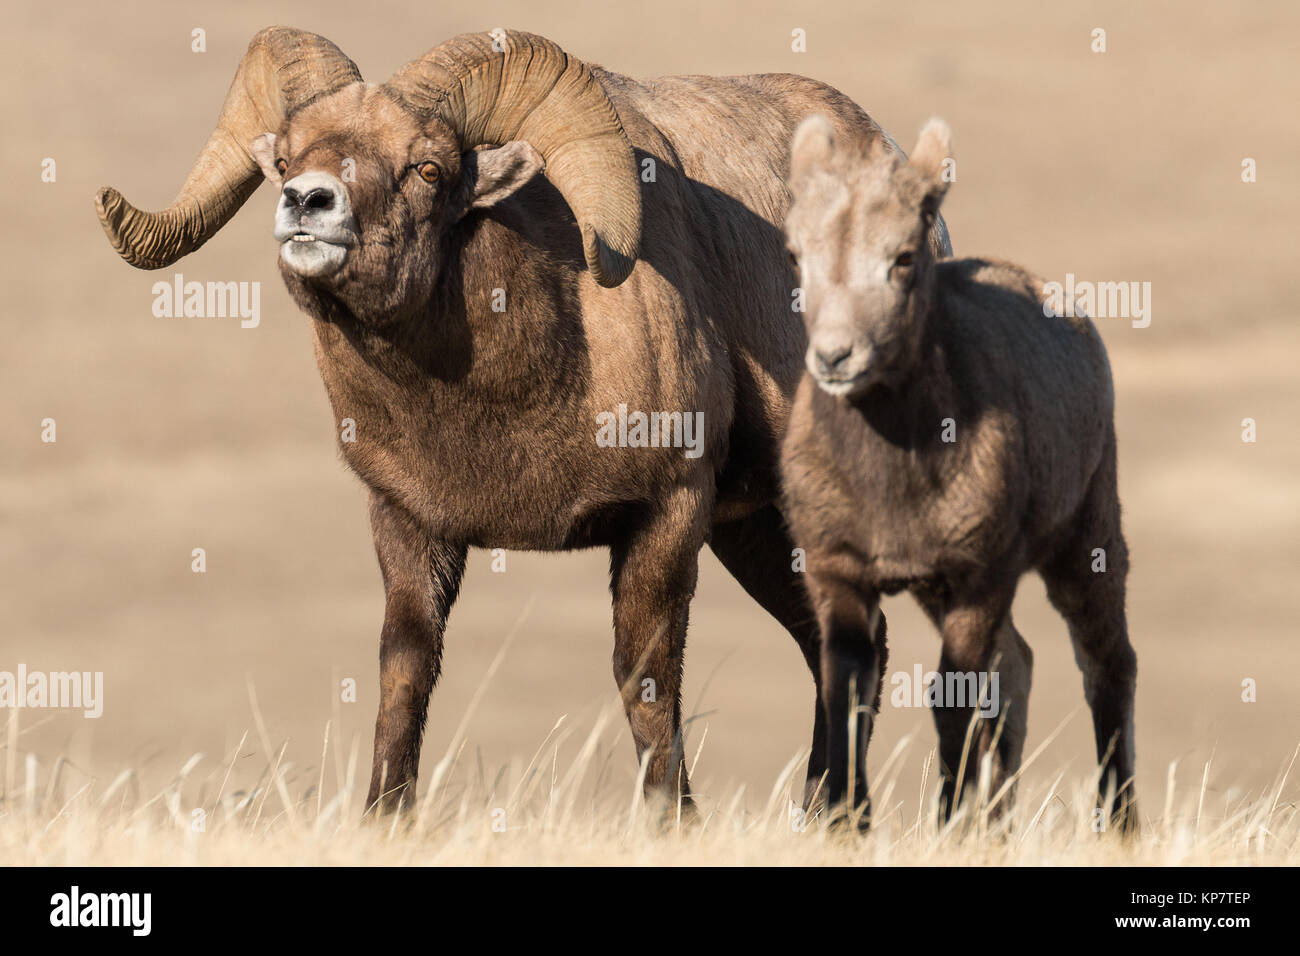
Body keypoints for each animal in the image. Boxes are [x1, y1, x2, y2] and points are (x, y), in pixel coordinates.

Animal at [94, 27, 952, 815]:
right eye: (284, 157)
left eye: (428, 167)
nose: (308, 202)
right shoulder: (408, 522)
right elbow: (405, 672)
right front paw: (385, 816)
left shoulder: (667, 513)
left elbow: (644, 679)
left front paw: (673, 819)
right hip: (757, 534)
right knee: (836, 646)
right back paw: (832, 816)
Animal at [780, 115, 1137, 831]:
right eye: (796, 255)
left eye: (903, 257)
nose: (836, 357)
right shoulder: (841, 576)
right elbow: (847, 695)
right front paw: (849, 825)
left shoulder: (978, 576)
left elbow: (954, 700)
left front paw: (948, 826)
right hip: (941, 590)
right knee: (1019, 666)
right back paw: (997, 829)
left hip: (1085, 538)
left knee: (1105, 663)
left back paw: (1119, 828)